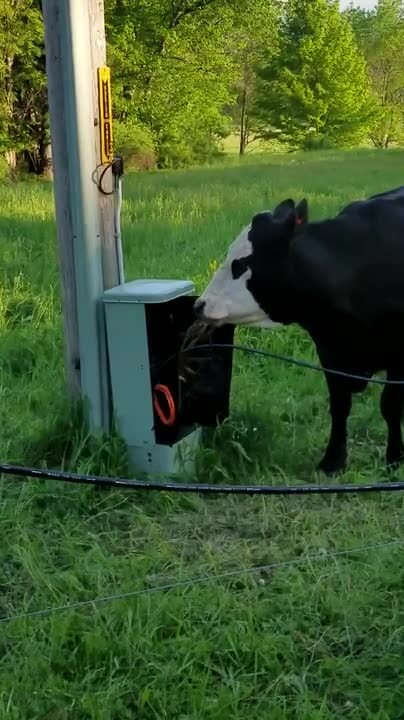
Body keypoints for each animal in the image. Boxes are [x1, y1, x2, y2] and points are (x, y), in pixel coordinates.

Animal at [194, 187, 404, 474]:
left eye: (241, 265)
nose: (199, 305)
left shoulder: (399, 357)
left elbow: (390, 406)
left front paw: (394, 458)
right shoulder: (329, 354)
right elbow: (340, 406)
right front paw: (332, 461)